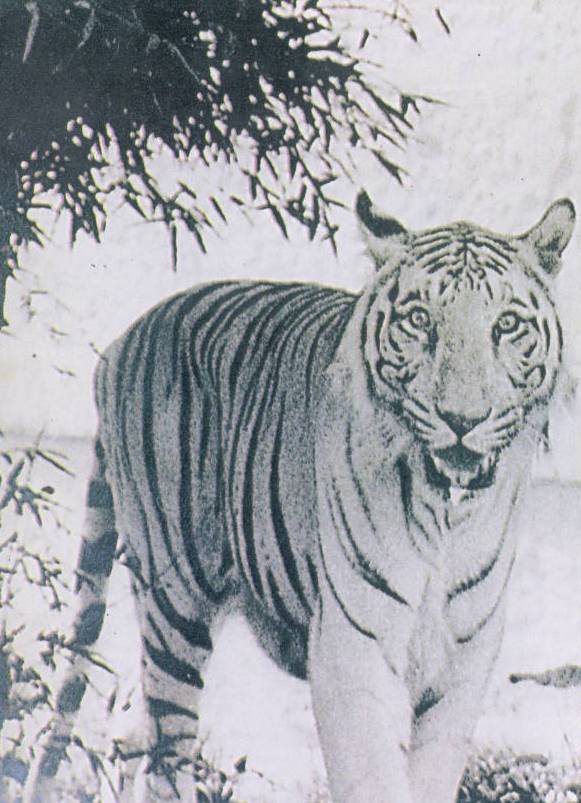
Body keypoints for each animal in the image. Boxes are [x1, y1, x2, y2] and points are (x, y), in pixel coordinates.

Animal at [23, 191, 575, 803]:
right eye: (419, 320)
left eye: (507, 325)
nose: (463, 419)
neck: (446, 518)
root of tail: (119, 343)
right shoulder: (355, 651)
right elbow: (373, 777)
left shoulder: (462, 664)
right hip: (174, 600)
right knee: (168, 753)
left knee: (129, 738)